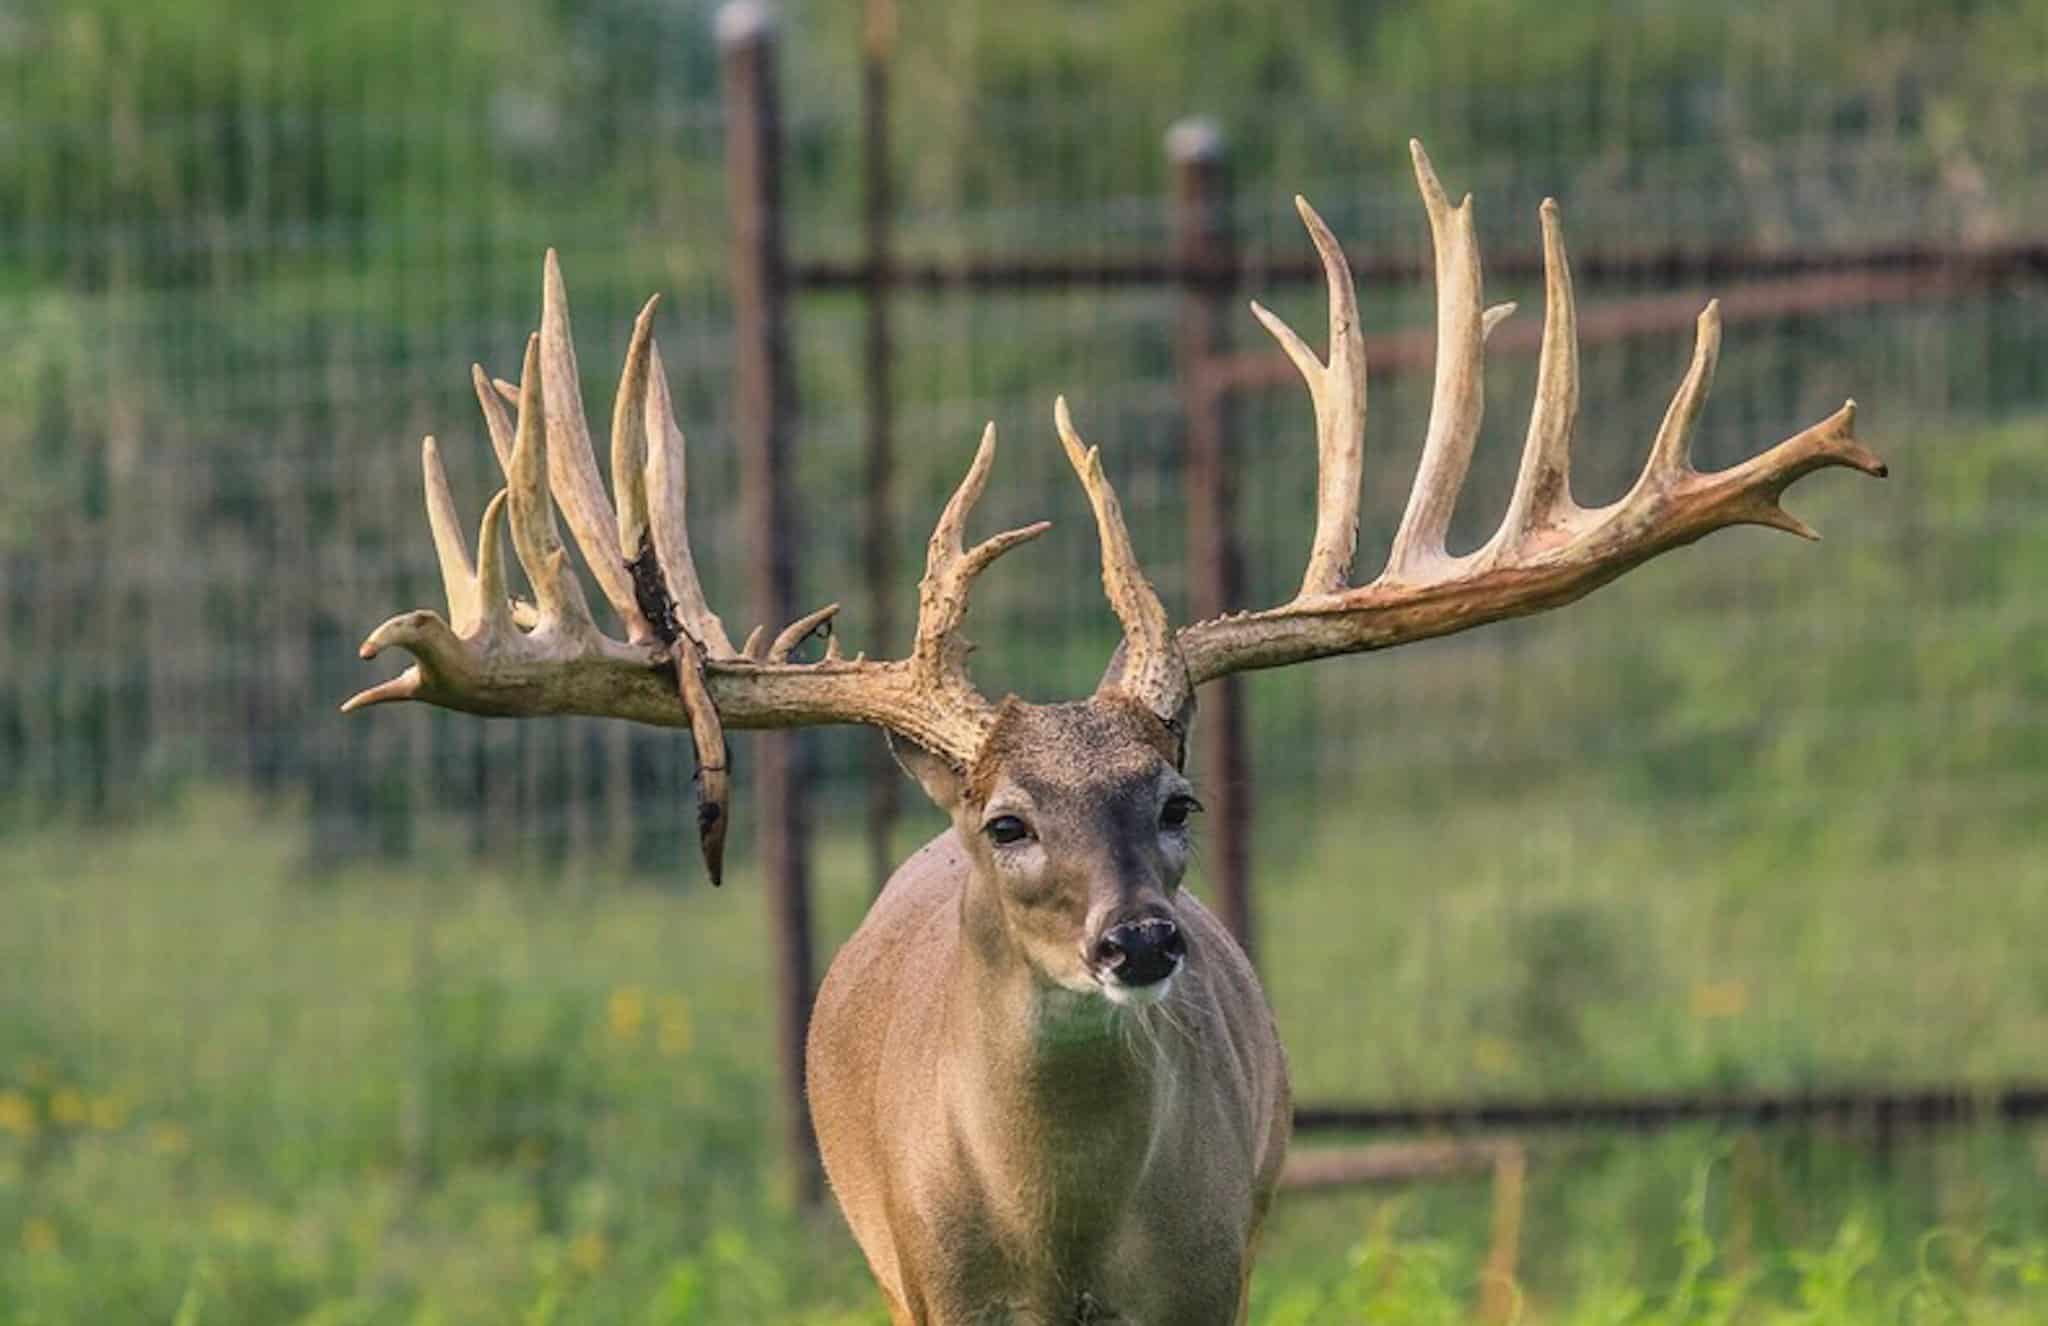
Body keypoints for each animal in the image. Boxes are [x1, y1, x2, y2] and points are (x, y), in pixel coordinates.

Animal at [344, 142, 1884, 1324]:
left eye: (1176, 801)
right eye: (1007, 819)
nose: (1139, 939)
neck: (1062, 1237)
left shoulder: (1207, 1277)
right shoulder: (940, 1288)